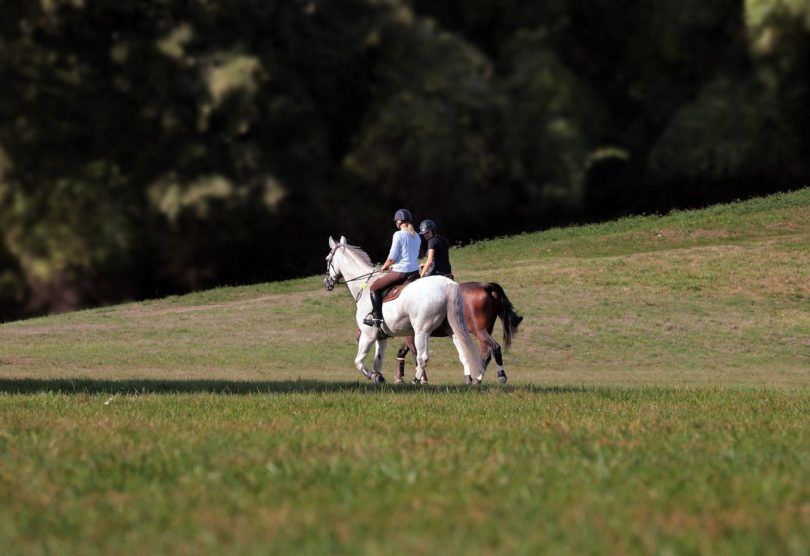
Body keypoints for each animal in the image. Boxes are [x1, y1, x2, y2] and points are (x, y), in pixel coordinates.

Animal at [324, 236, 484, 384]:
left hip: (421, 331)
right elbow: (378, 362)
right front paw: (378, 377)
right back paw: (469, 380)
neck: (364, 285)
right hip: (452, 329)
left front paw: (372, 376)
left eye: (327, 259)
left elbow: (358, 361)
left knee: (422, 357)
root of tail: (448, 284)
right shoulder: (381, 337)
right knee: (463, 352)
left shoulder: (368, 334)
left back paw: (416, 381)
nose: (326, 283)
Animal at [394, 282, 523, 385]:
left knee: (495, 347)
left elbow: (415, 355)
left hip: (479, 330)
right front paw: (400, 378)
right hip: (485, 331)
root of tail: (484, 286)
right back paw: (477, 379)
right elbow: (402, 352)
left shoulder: (413, 335)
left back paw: (498, 376)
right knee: (486, 353)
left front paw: (421, 379)